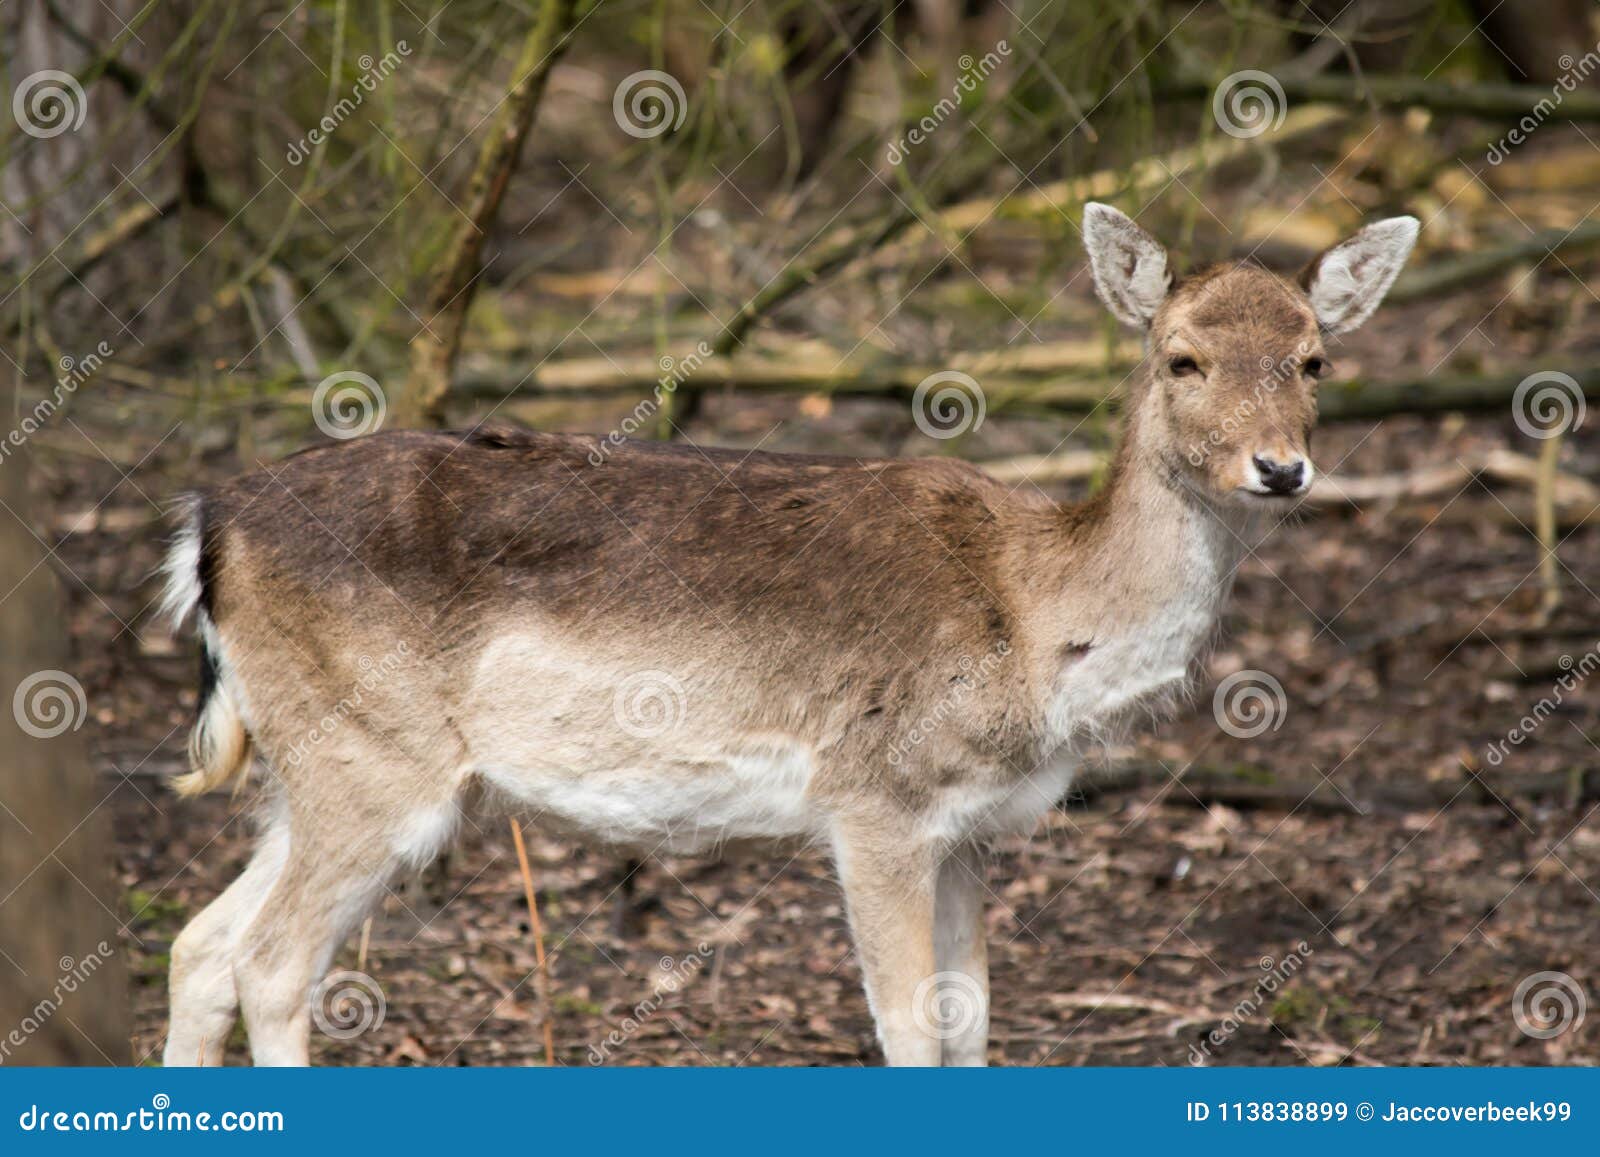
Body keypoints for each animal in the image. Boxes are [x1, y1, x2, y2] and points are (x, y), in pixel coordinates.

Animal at [158, 203, 1417, 1067]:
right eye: (1179, 357)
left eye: (1315, 359)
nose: (1280, 466)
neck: (1033, 622)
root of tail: (209, 525)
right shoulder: (874, 800)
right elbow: (910, 1035)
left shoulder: (970, 829)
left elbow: (972, 1027)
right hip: (376, 763)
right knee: (271, 963)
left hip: (310, 765)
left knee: (201, 945)